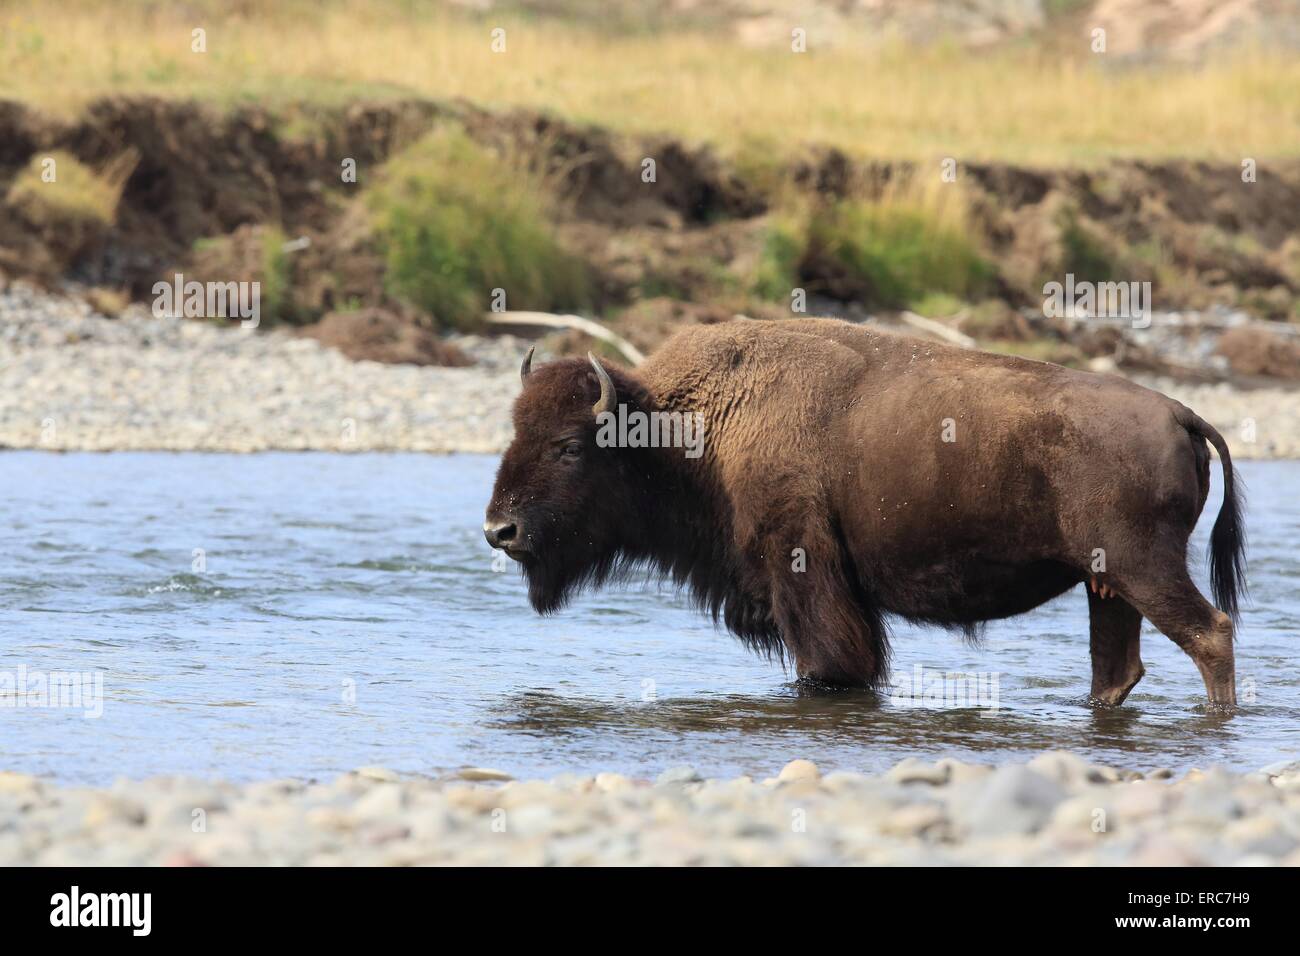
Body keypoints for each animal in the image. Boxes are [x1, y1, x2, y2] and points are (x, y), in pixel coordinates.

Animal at [485, 318, 1245, 707]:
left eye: (568, 446)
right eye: (513, 430)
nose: (500, 530)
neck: (688, 428)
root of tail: (1178, 411)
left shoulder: (803, 574)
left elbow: (832, 662)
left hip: (1143, 568)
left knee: (1210, 633)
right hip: (1106, 583)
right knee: (1117, 667)